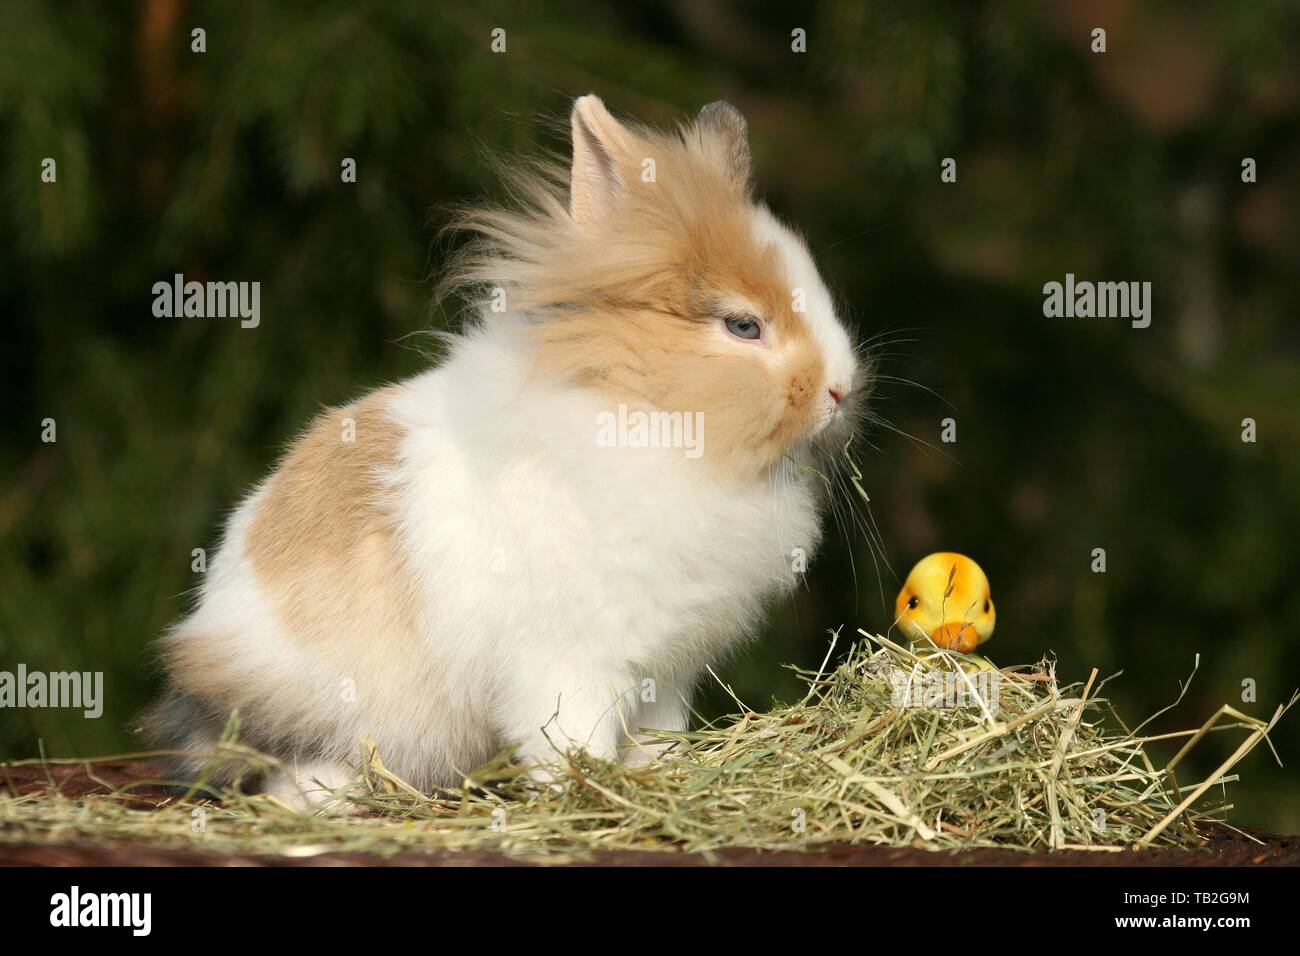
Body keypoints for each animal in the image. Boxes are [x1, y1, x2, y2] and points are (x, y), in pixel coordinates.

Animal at [144, 95, 868, 807]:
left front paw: (657, 776)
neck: (648, 415)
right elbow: (569, 736)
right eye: (742, 326)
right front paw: (585, 787)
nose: (841, 389)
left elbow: (657, 734)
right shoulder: (567, 658)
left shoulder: (666, 671)